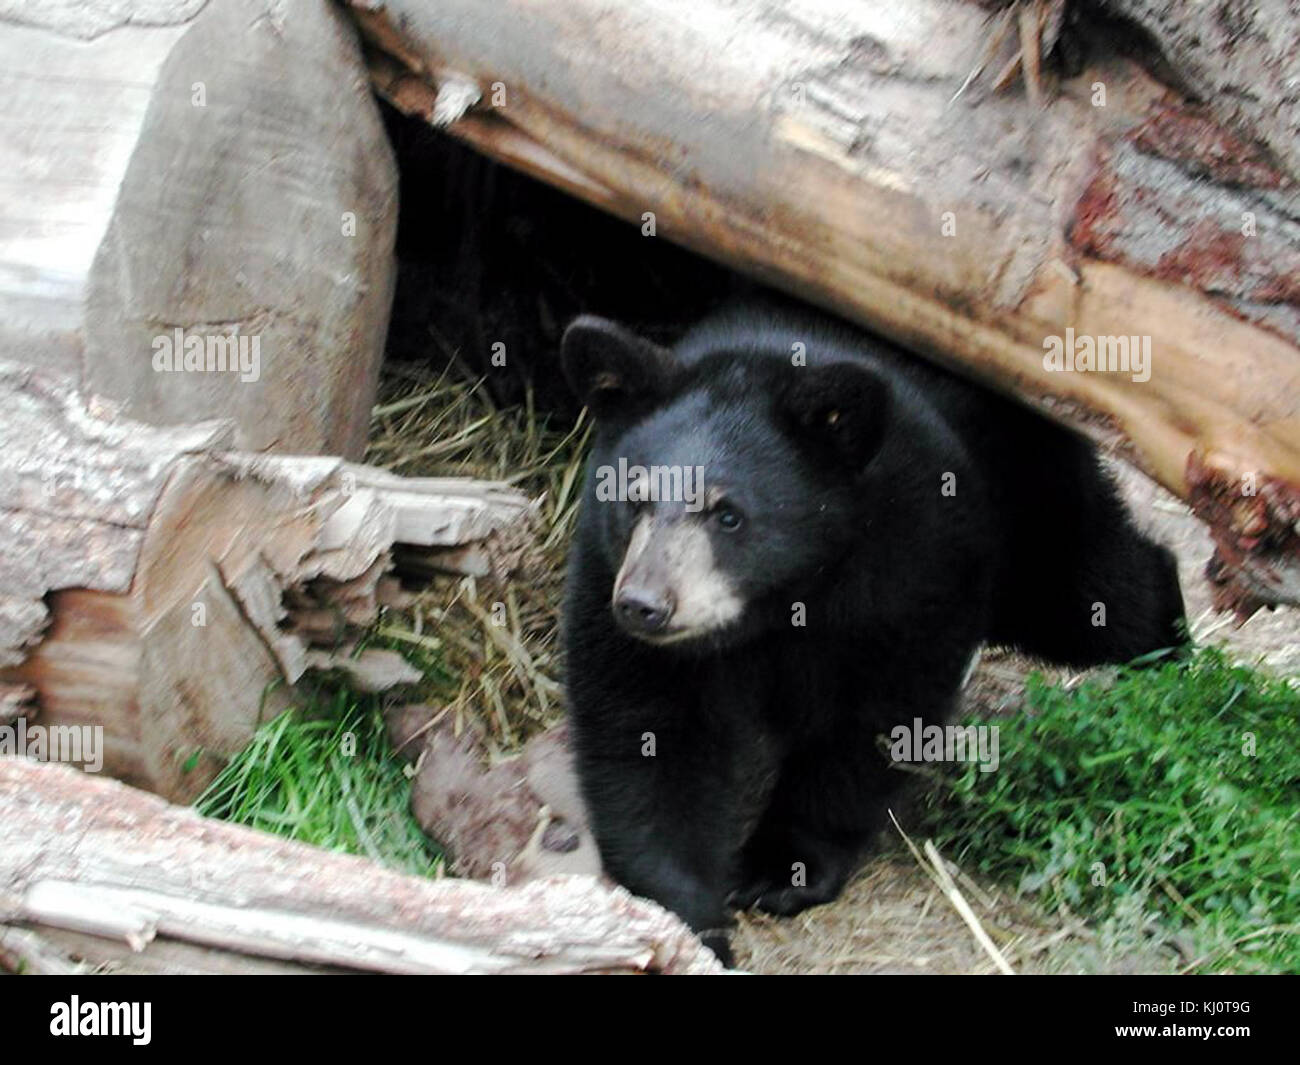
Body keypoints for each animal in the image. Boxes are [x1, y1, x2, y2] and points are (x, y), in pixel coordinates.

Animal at [560, 302, 1186, 965]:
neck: (779, 602)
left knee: (1090, 593)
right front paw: (684, 928)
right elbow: (646, 739)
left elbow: (878, 718)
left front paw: (782, 868)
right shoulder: (607, 579)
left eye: (729, 514)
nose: (644, 606)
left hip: (1032, 485)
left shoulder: (916, 554)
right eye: (635, 499)